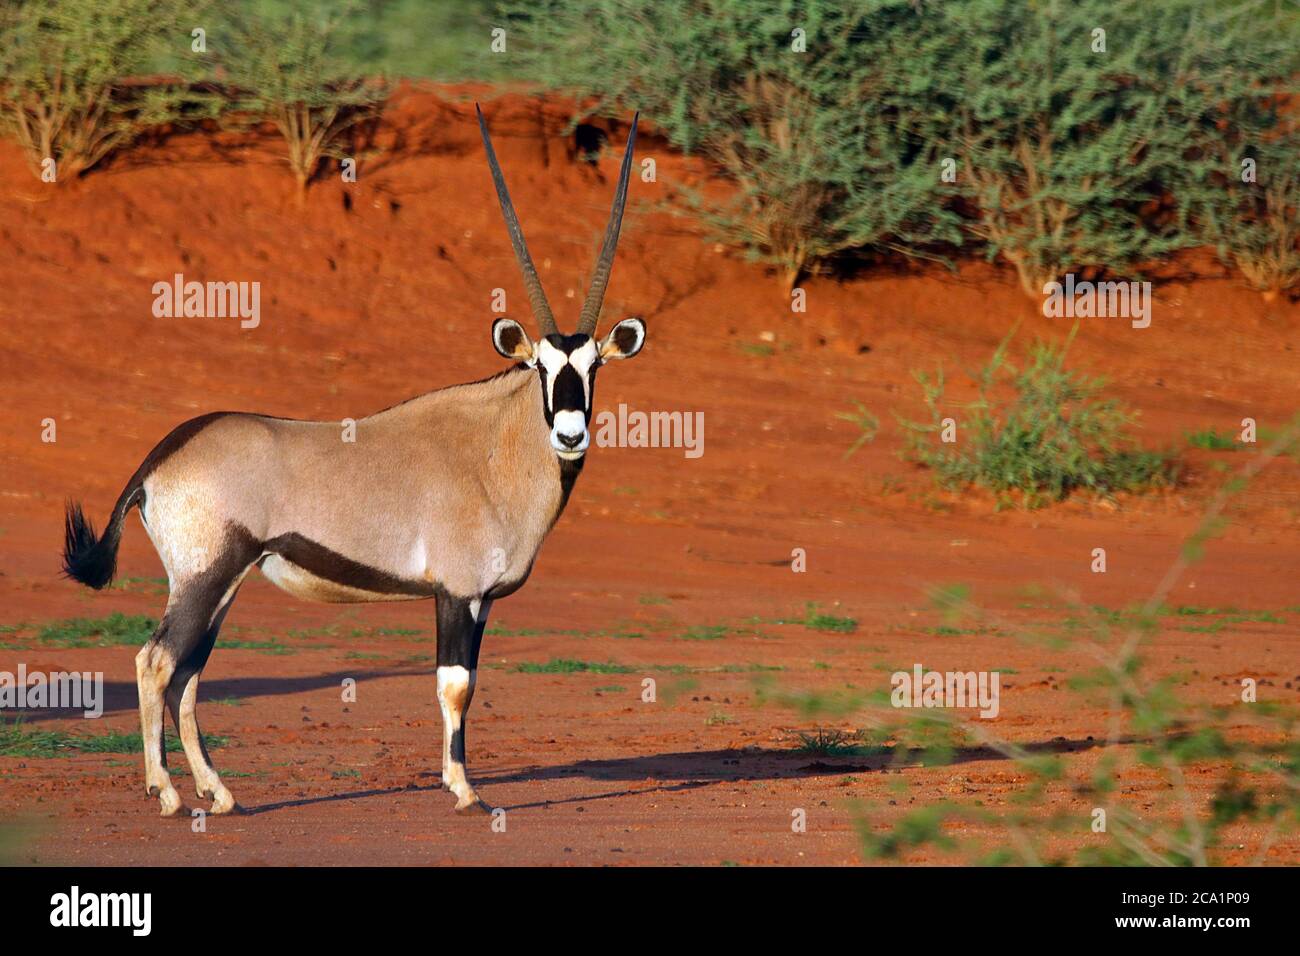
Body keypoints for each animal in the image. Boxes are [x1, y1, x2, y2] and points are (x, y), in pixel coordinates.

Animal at [61, 105, 645, 816]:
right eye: (540, 366)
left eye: (593, 368)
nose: (568, 433)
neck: (492, 452)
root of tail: (159, 460)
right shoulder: (457, 593)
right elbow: (456, 685)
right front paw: (465, 790)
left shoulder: (480, 601)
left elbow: (466, 683)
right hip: (205, 578)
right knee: (157, 663)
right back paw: (168, 793)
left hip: (220, 584)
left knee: (188, 675)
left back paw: (218, 792)